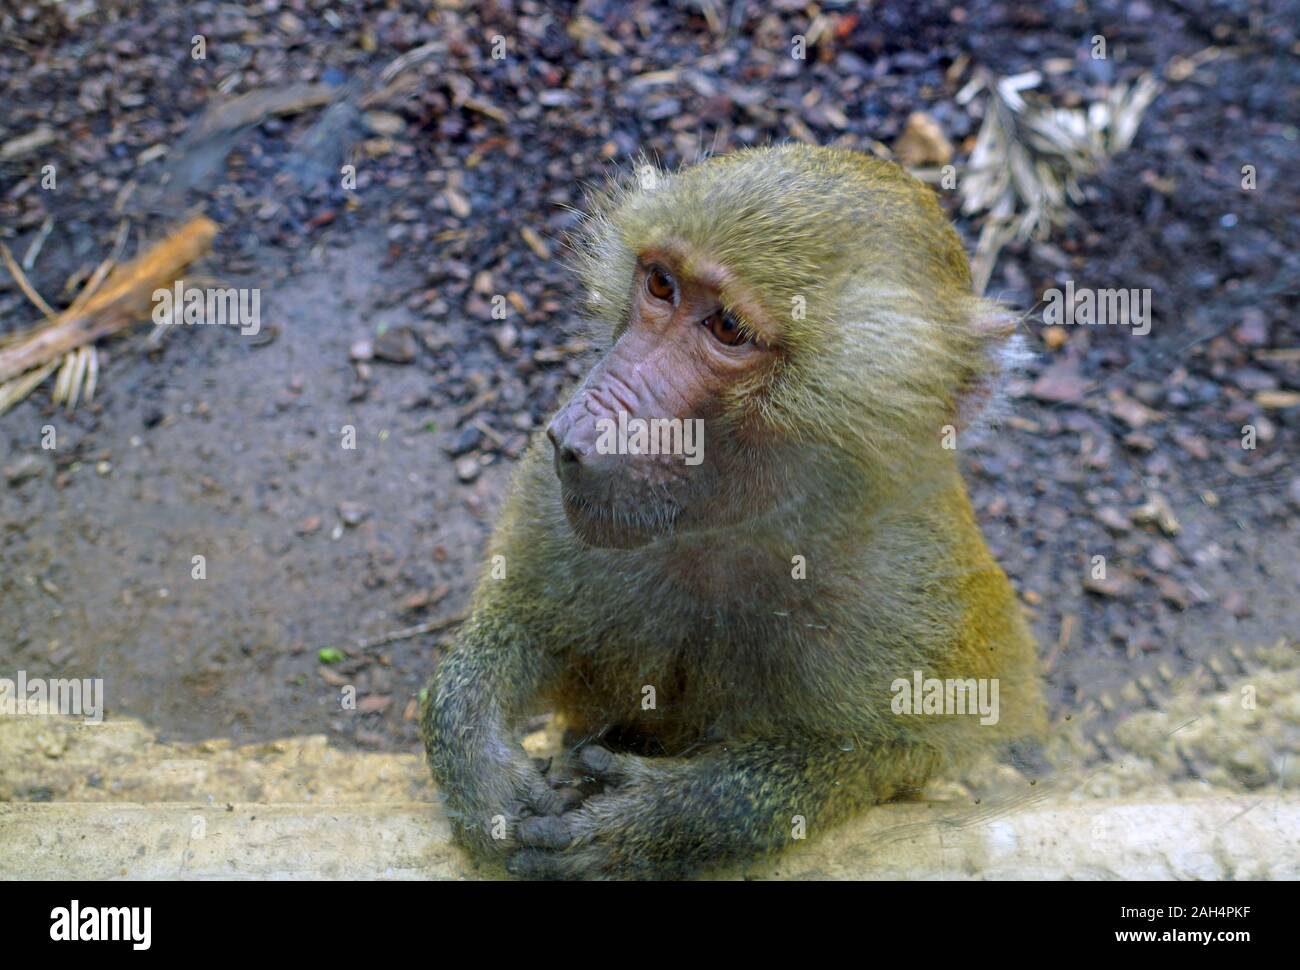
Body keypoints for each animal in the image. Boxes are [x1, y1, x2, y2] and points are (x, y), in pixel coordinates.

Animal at [421, 143, 1046, 880]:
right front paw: (478, 764)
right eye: (661, 286)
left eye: (728, 329)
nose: (572, 439)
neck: (730, 531)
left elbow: (891, 756)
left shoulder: (912, 600)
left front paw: (661, 821)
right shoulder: (556, 510)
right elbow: (523, 620)